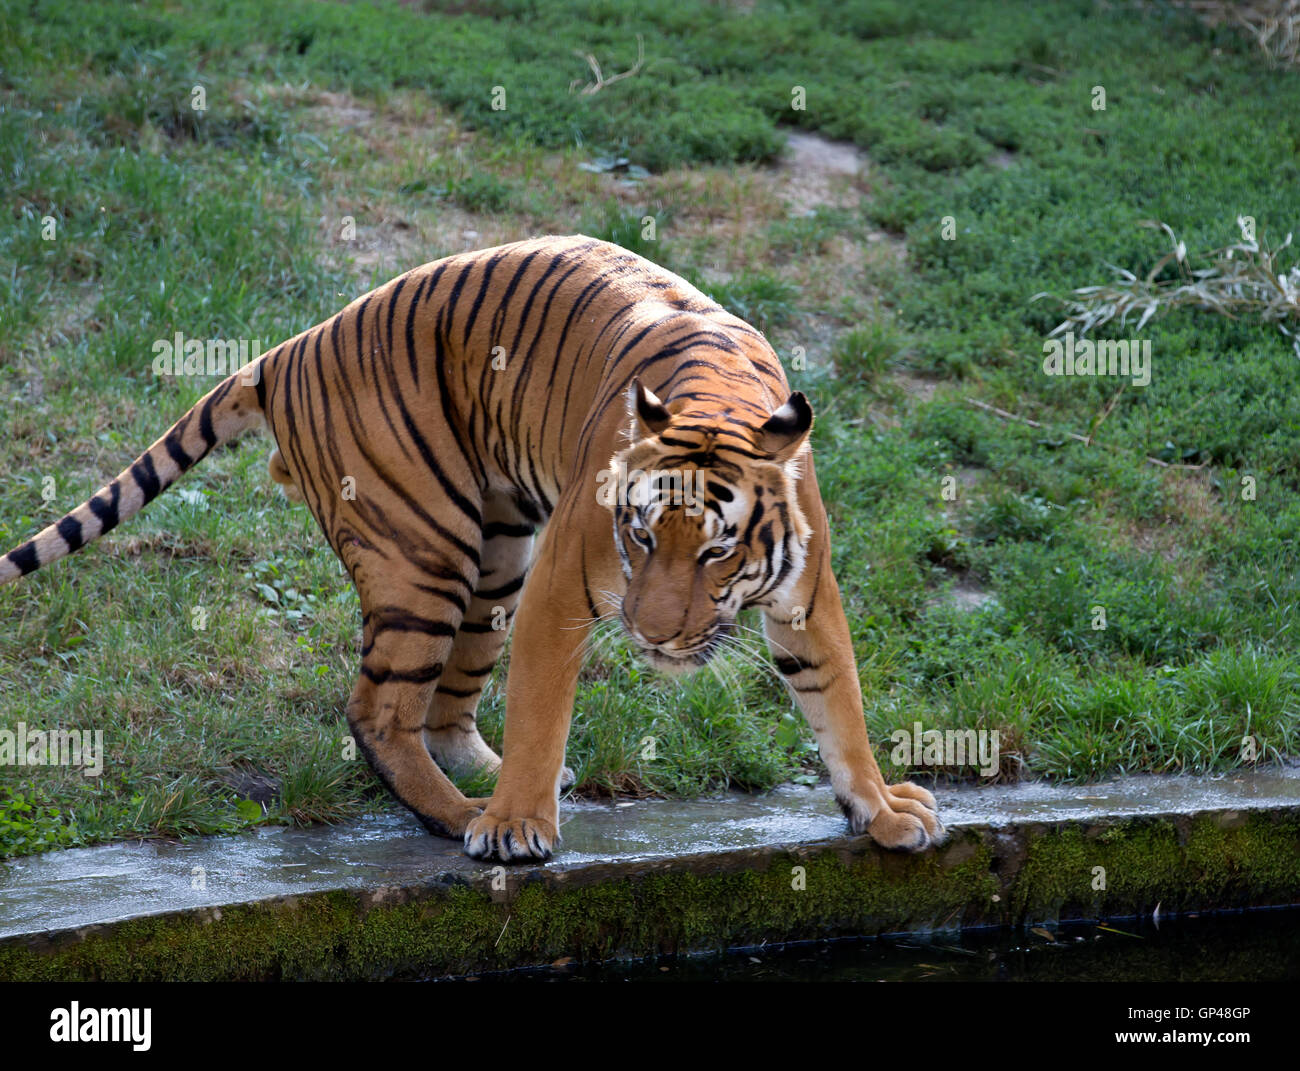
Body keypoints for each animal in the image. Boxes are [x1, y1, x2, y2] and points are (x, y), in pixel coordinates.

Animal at [0, 234, 943, 862]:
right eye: (640, 536)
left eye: (715, 553)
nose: (650, 635)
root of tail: (286, 347)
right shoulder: (565, 587)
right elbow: (540, 710)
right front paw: (516, 825)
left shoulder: (807, 598)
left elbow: (839, 702)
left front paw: (880, 807)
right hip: (426, 552)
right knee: (378, 711)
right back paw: (460, 815)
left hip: (497, 555)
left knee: (445, 705)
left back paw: (476, 783)